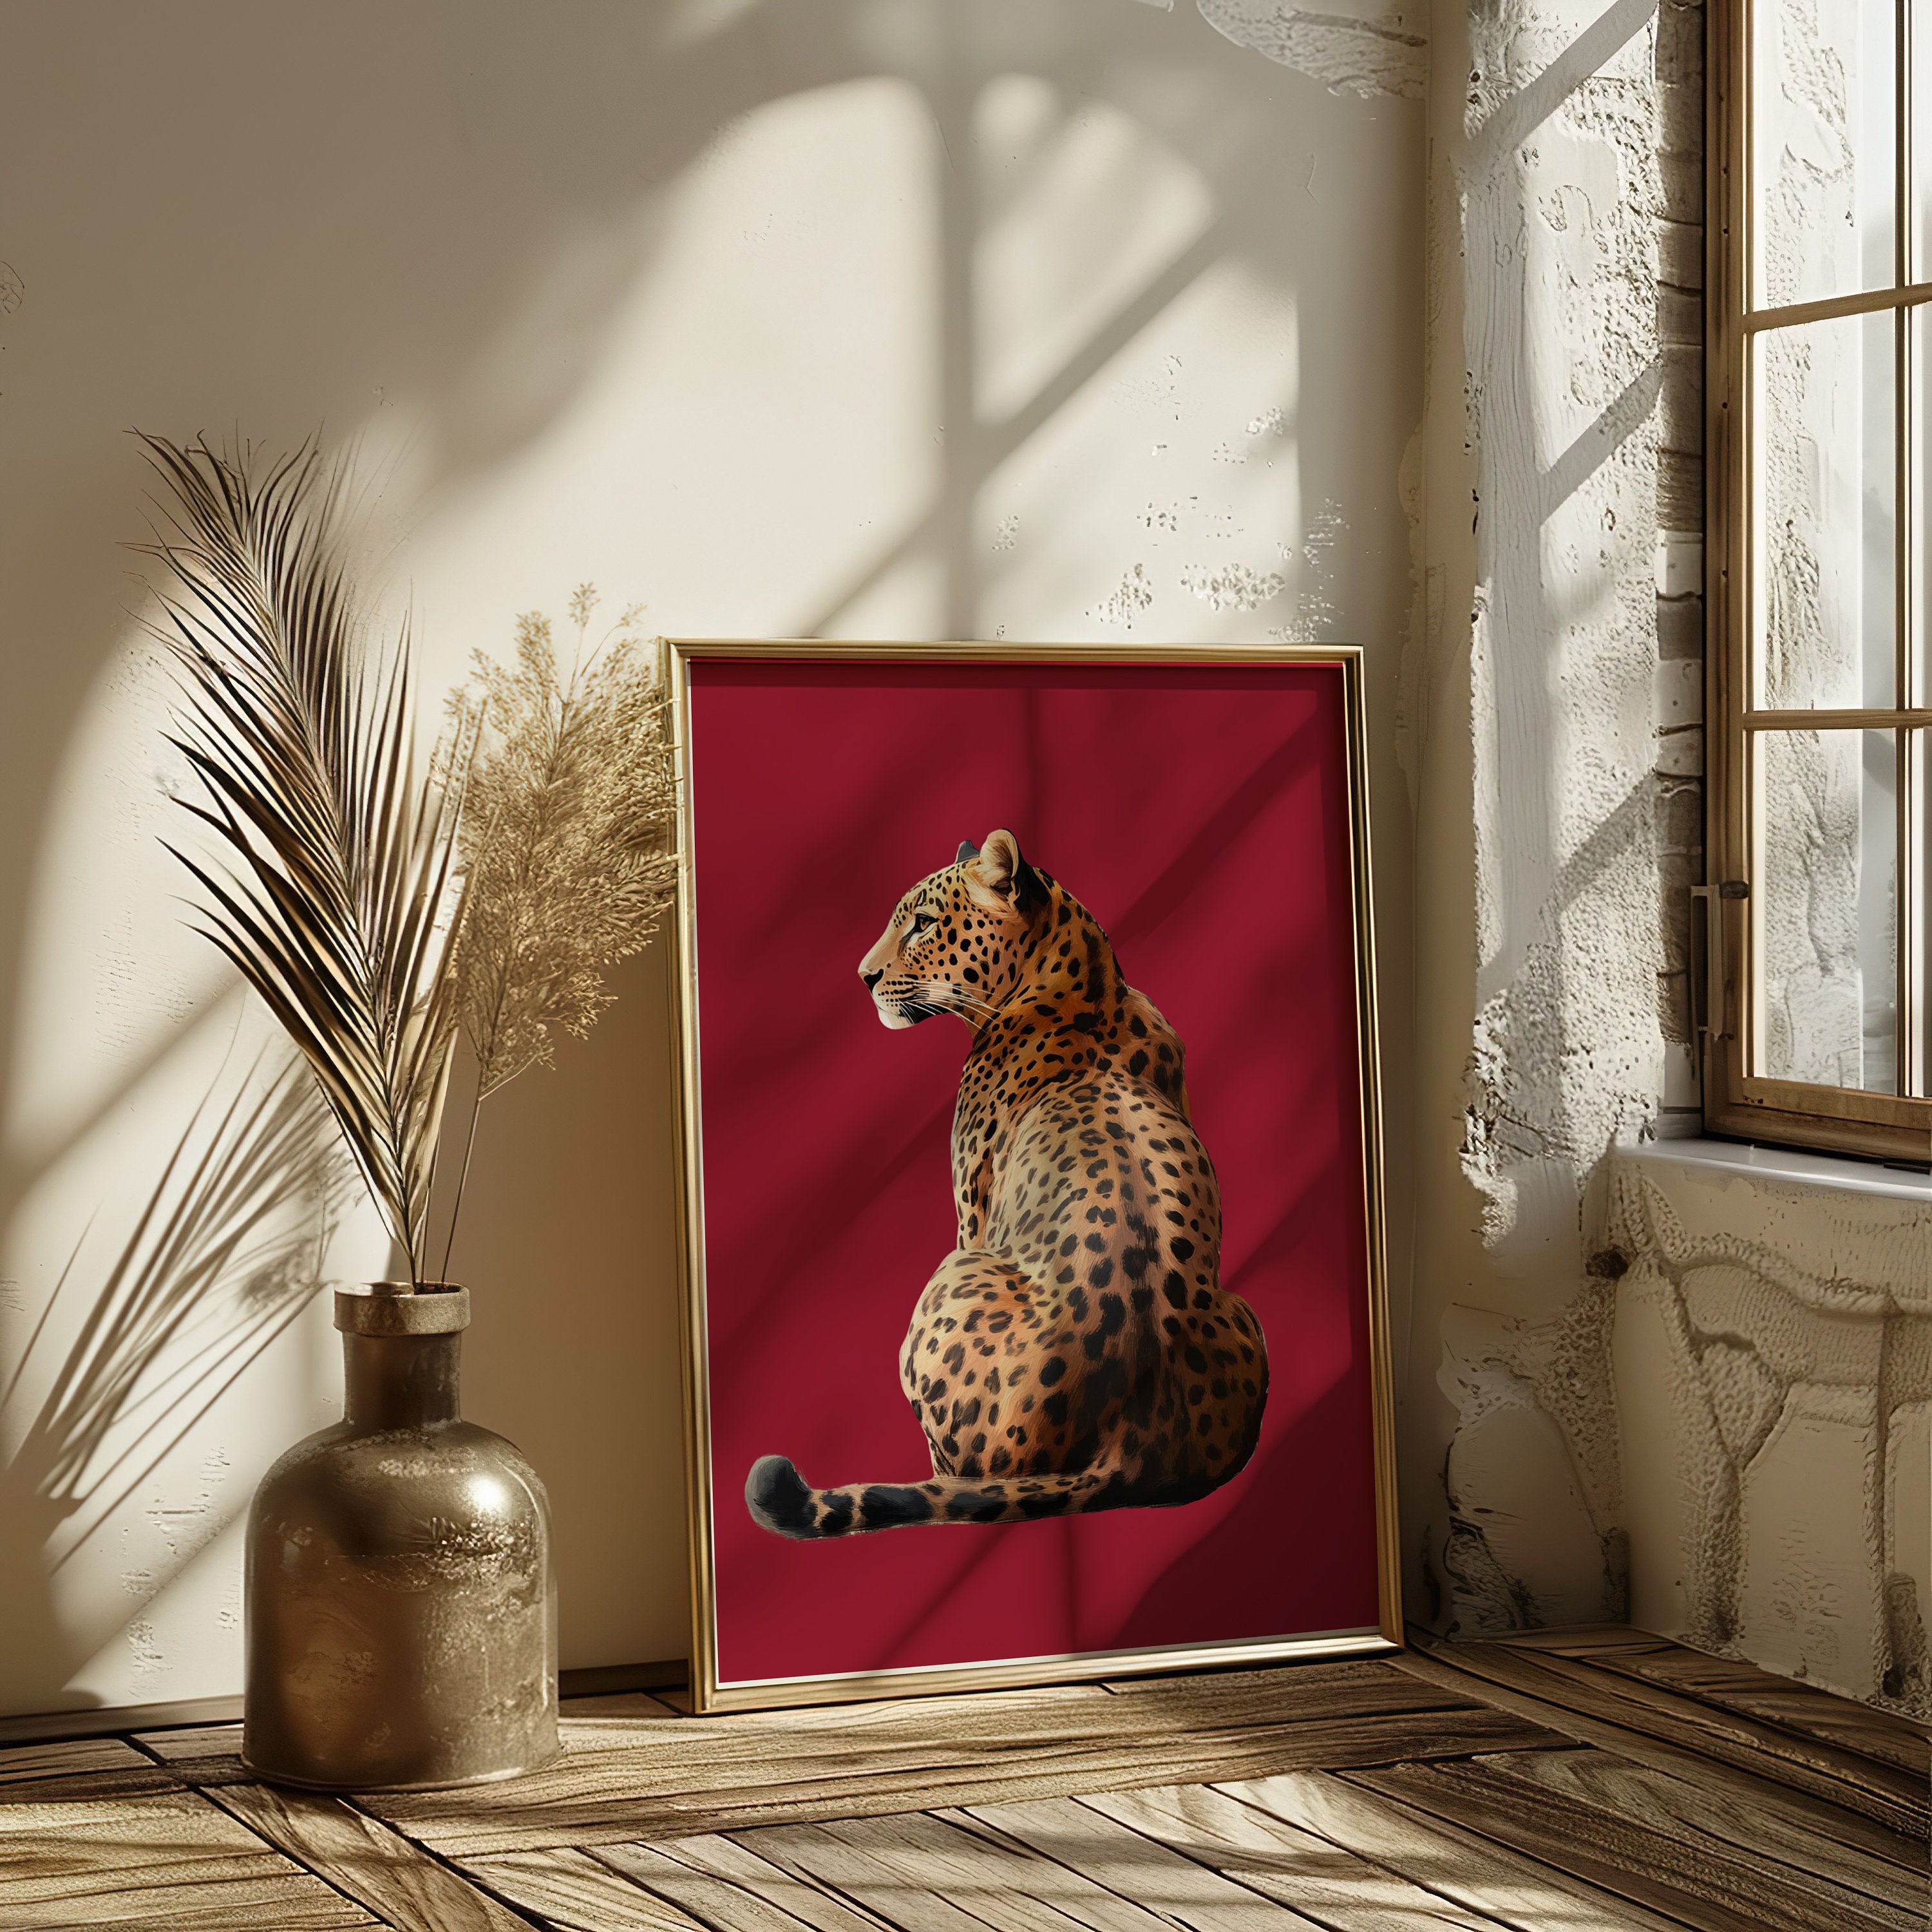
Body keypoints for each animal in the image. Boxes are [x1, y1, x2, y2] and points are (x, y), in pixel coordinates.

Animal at [745, 827, 1268, 1537]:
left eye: (923, 923)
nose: (863, 977)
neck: (1087, 983)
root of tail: (1132, 1448)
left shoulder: (971, 1207)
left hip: (954, 1274)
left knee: (959, 1474)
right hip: (1246, 1317)